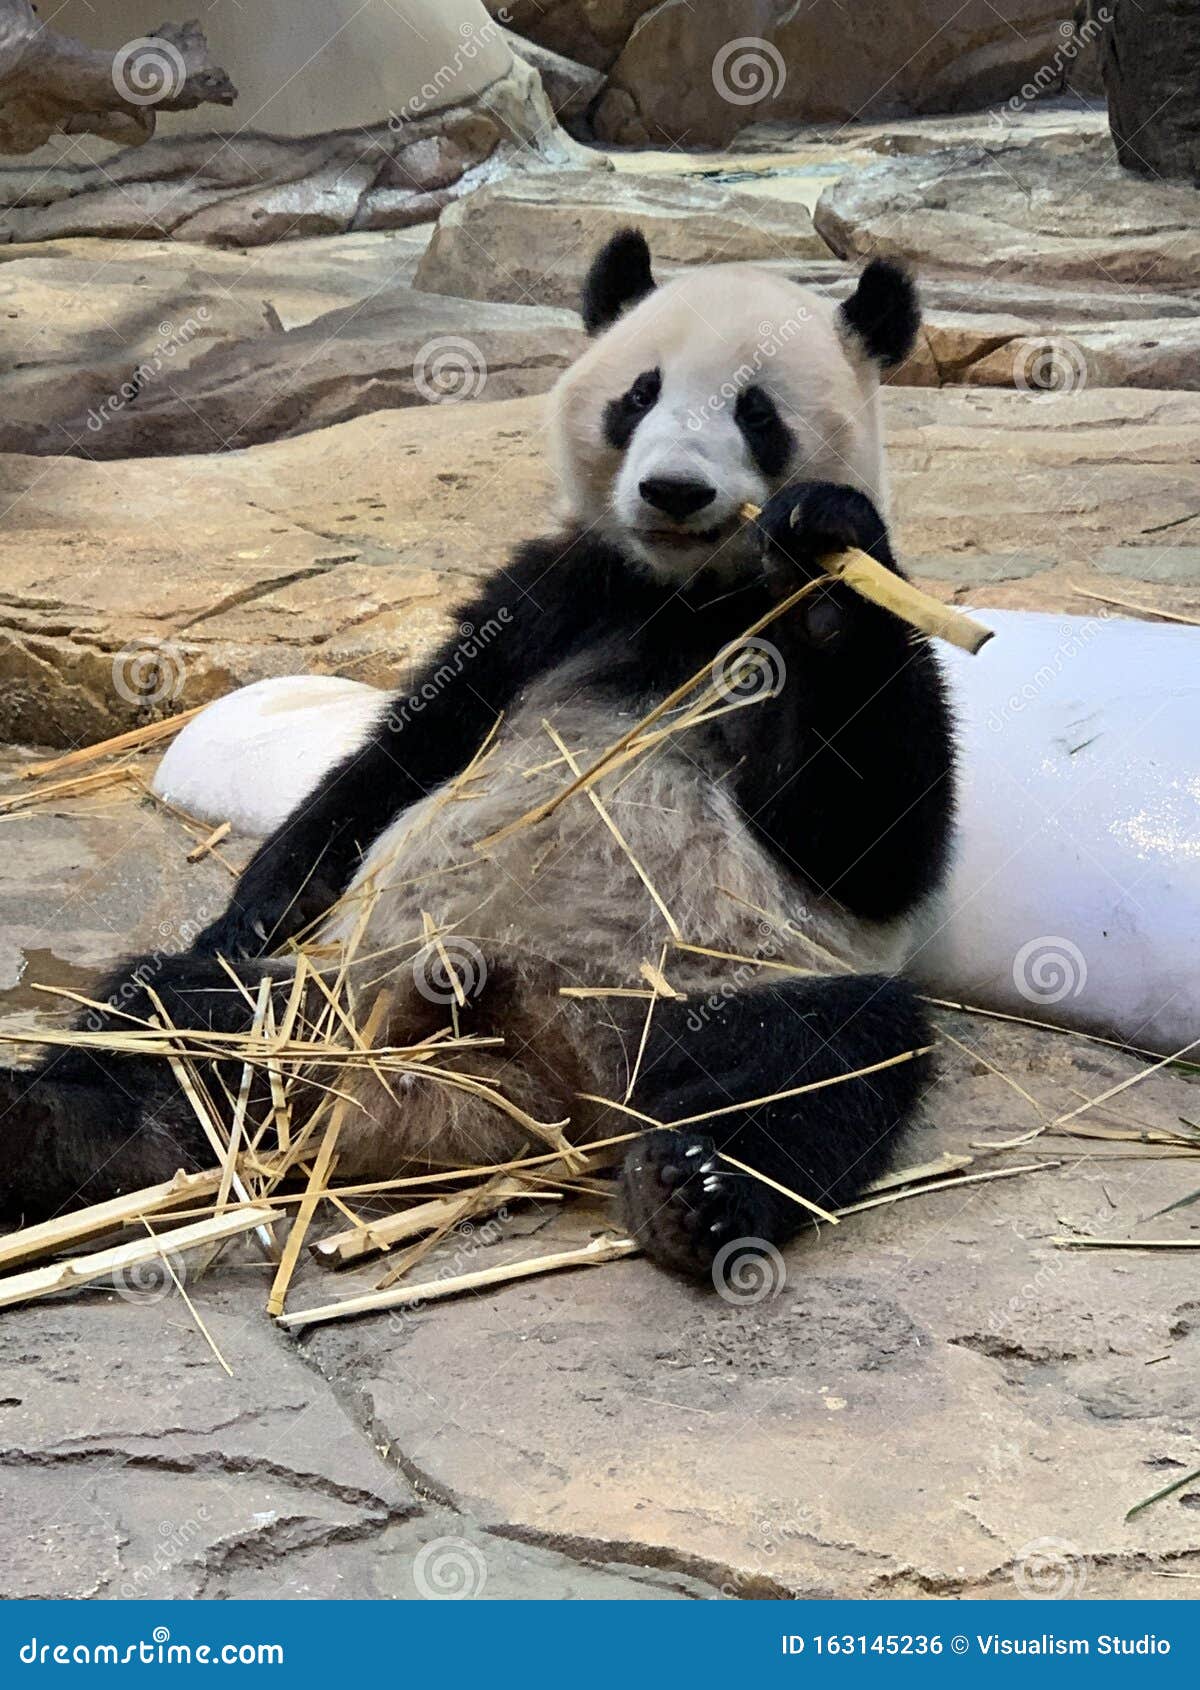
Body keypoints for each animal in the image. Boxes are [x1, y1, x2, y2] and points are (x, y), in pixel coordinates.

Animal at [0, 231, 956, 1281]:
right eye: (640, 394)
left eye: (757, 412)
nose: (673, 490)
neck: (686, 594)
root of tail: (526, 1073)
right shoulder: (552, 597)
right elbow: (400, 757)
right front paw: (250, 911)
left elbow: (868, 846)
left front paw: (828, 553)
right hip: (336, 993)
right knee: (177, 1017)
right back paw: (55, 1130)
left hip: (710, 981)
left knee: (831, 1055)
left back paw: (694, 1191)